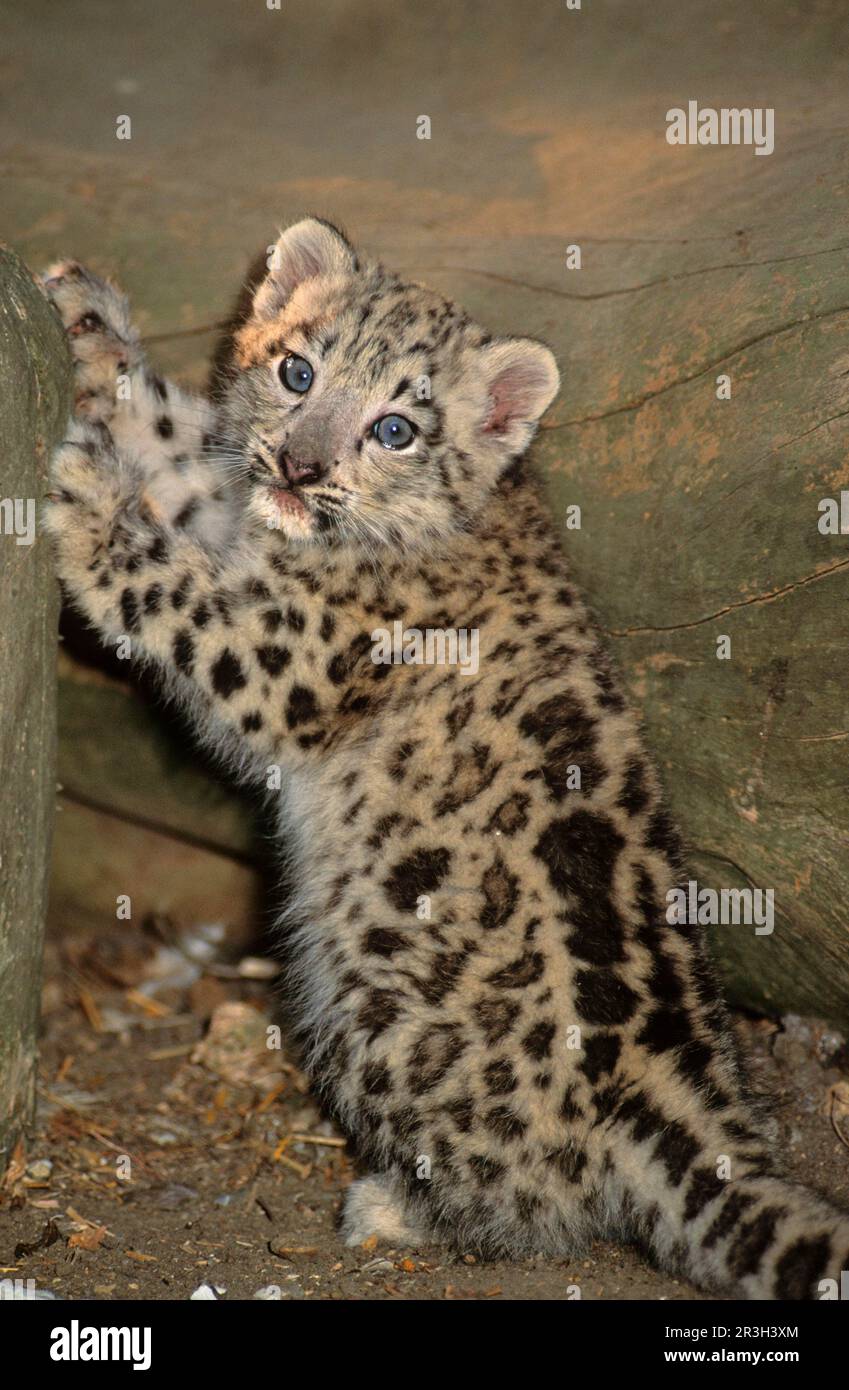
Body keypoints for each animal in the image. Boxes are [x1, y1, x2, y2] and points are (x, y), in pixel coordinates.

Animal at [41, 217, 849, 1299]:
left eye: (397, 430)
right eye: (297, 370)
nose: (298, 467)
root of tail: (678, 1082)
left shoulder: (284, 654)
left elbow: (176, 593)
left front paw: (89, 501)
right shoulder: (226, 503)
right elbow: (178, 439)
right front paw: (90, 325)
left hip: (383, 1008)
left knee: (534, 1207)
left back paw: (391, 1207)